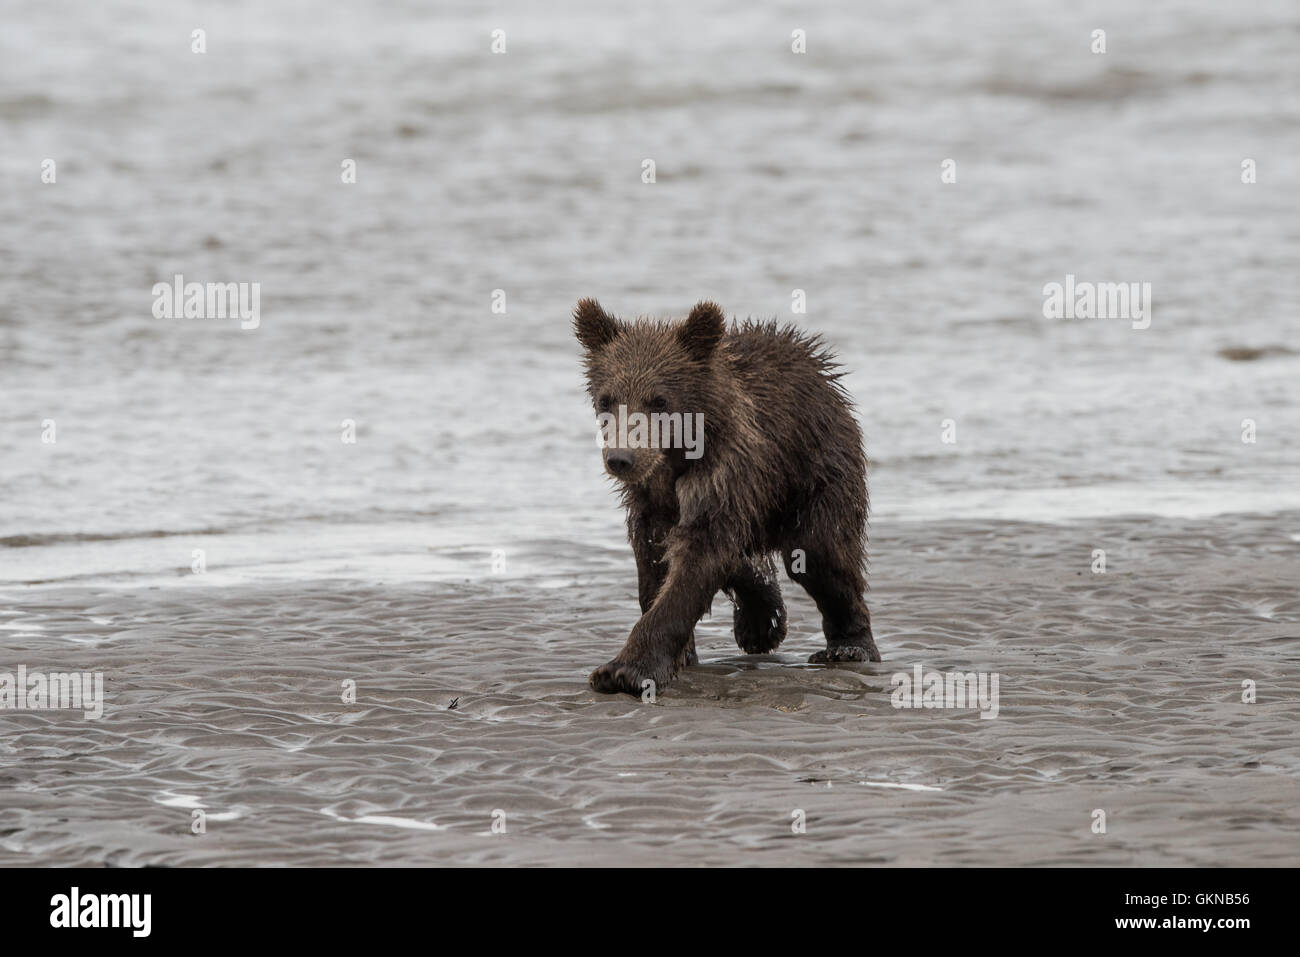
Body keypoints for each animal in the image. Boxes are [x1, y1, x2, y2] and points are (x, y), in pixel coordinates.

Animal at [574, 298, 879, 696]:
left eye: (659, 400)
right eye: (606, 400)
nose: (621, 458)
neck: (675, 461)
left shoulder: (725, 474)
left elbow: (700, 556)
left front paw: (625, 670)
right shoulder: (650, 501)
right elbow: (656, 558)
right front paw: (679, 653)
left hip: (817, 470)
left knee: (822, 554)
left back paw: (849, 646)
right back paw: (761, 620)